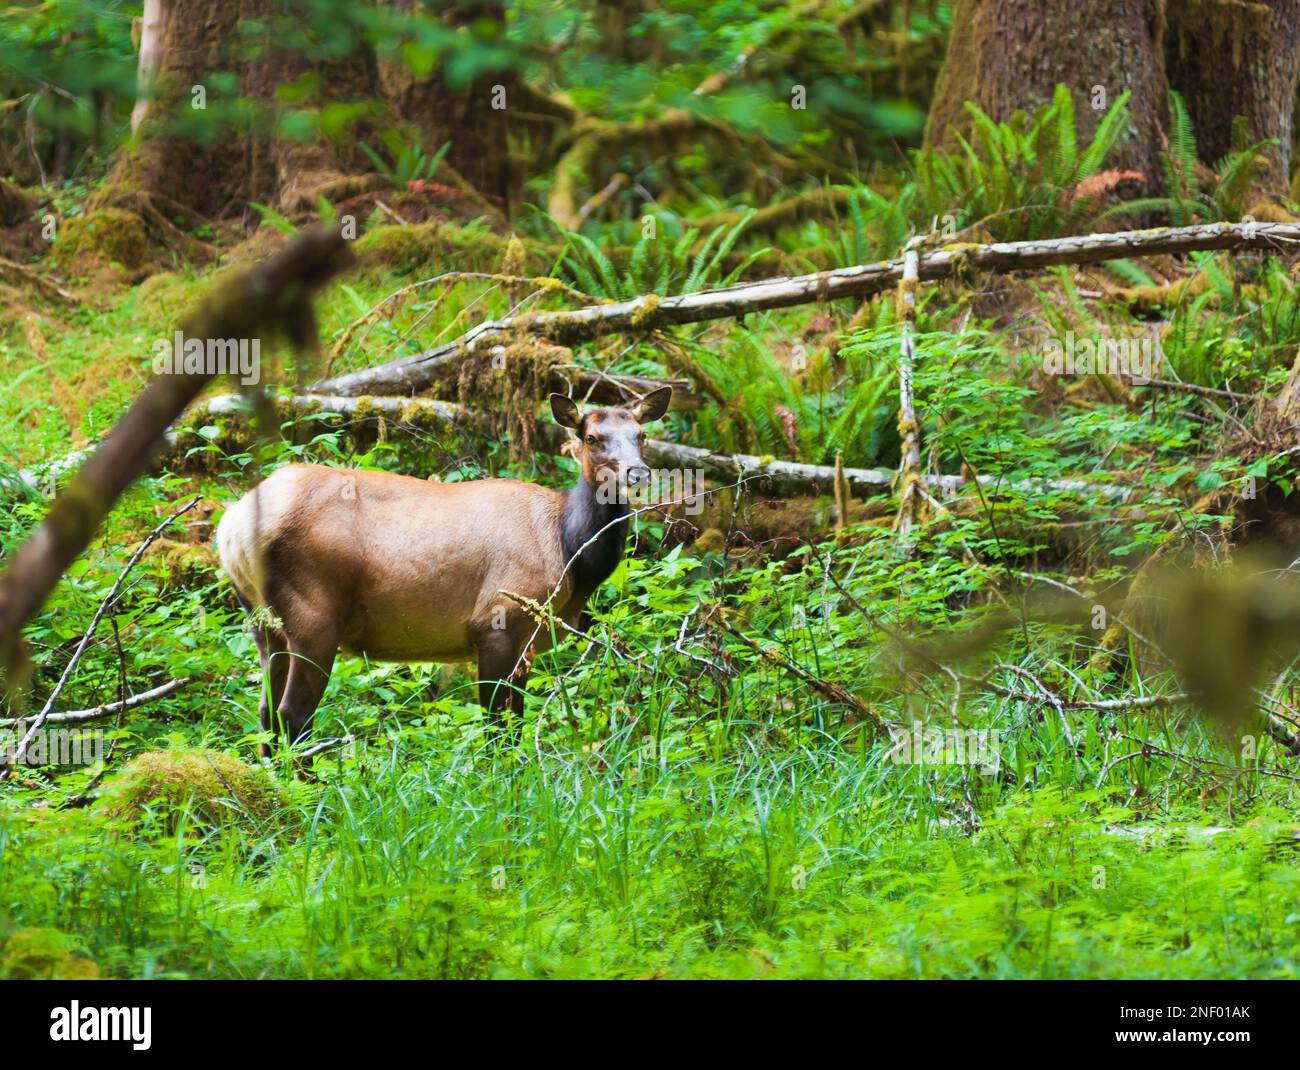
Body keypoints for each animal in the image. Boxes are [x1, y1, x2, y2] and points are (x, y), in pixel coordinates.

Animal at [216, 387, 671, 756]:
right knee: (292, 715)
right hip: (314, 614)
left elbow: (514, 724)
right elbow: (497, 729)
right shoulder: (497, 622)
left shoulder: (526, 642)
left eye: (641, 435)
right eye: (591, 437)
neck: (568, 550)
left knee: (266, 714)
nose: (638, 472)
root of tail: (231, 527)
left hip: (262, 622)